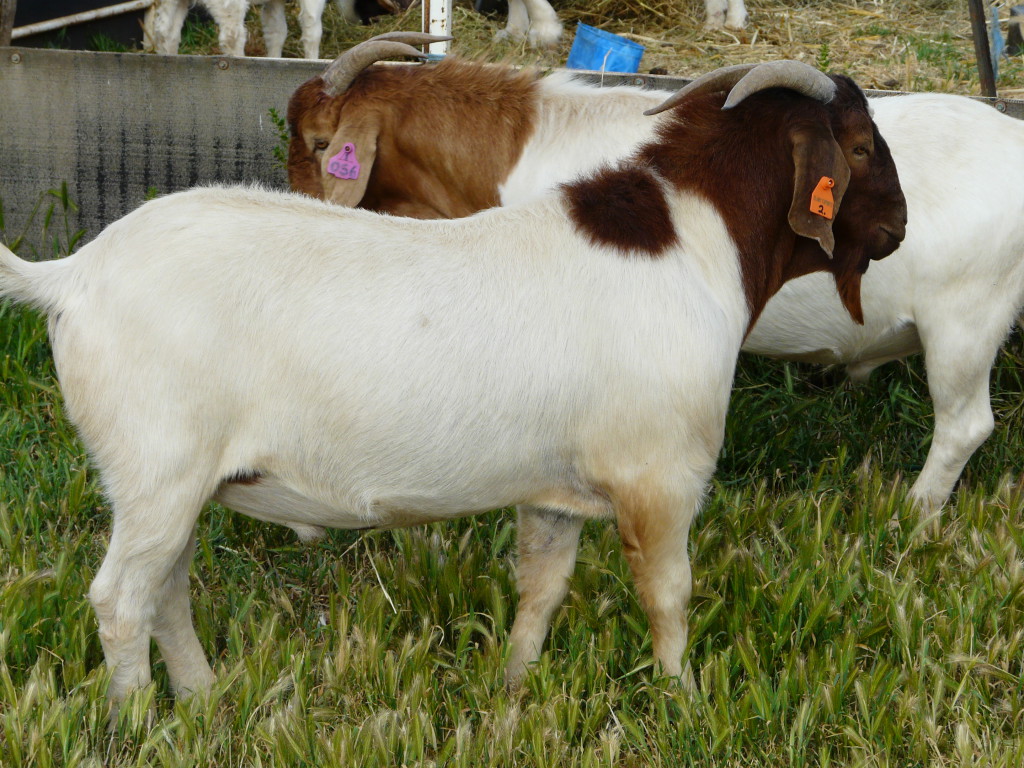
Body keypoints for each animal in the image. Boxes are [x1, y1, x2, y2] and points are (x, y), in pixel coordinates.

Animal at [0, 62, 906, 703]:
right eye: (862, 148)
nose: (898, 230)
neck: (692, 231)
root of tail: (73, 274)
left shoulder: (554, 487)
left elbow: (542, 589)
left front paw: (514, 688)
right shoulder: (663, 475)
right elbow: (668, 595)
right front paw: (680, 700)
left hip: (172, 481)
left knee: (166, 590)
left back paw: (202, 696)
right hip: (158, 467)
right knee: (121, 599)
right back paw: (134, 717)